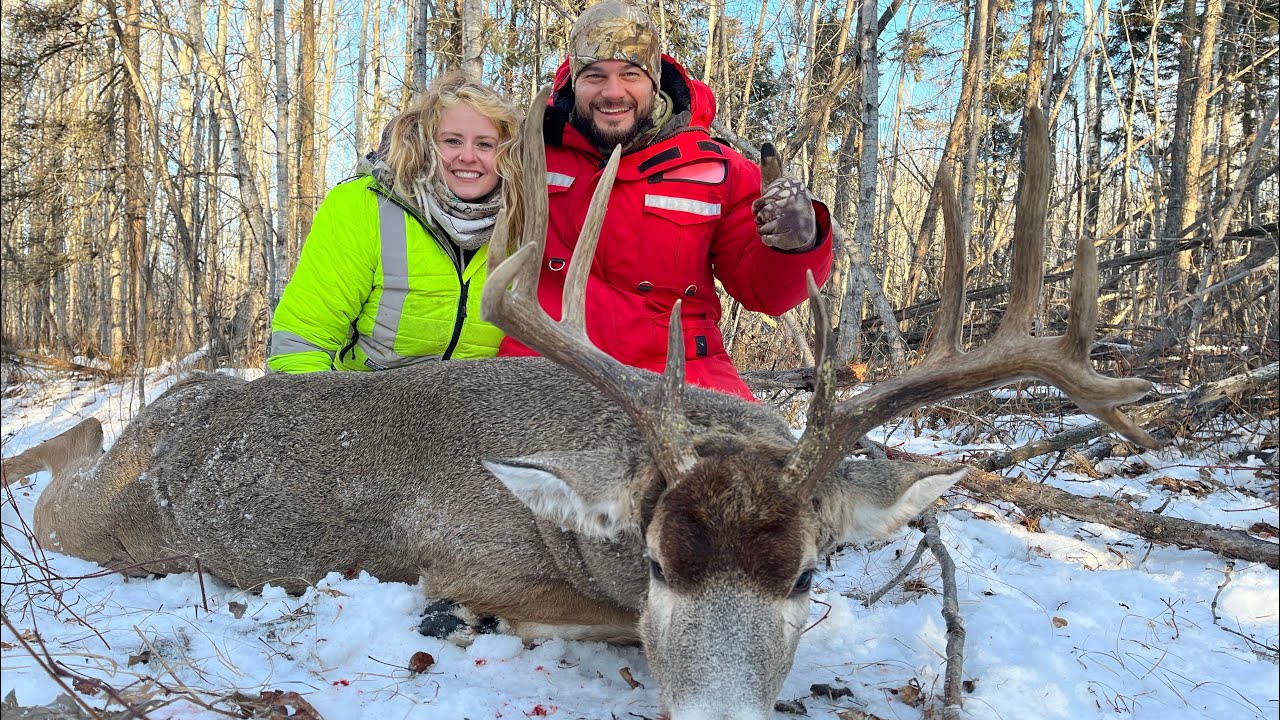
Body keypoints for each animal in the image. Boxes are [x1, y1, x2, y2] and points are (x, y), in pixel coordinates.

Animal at [2, 94, 1157, 720]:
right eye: (653, 563)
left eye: (808, 575)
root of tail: (173, 415)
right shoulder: (473, 552)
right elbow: (572, 615)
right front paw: (464, 617)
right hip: (100, 523)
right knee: (69, 449)